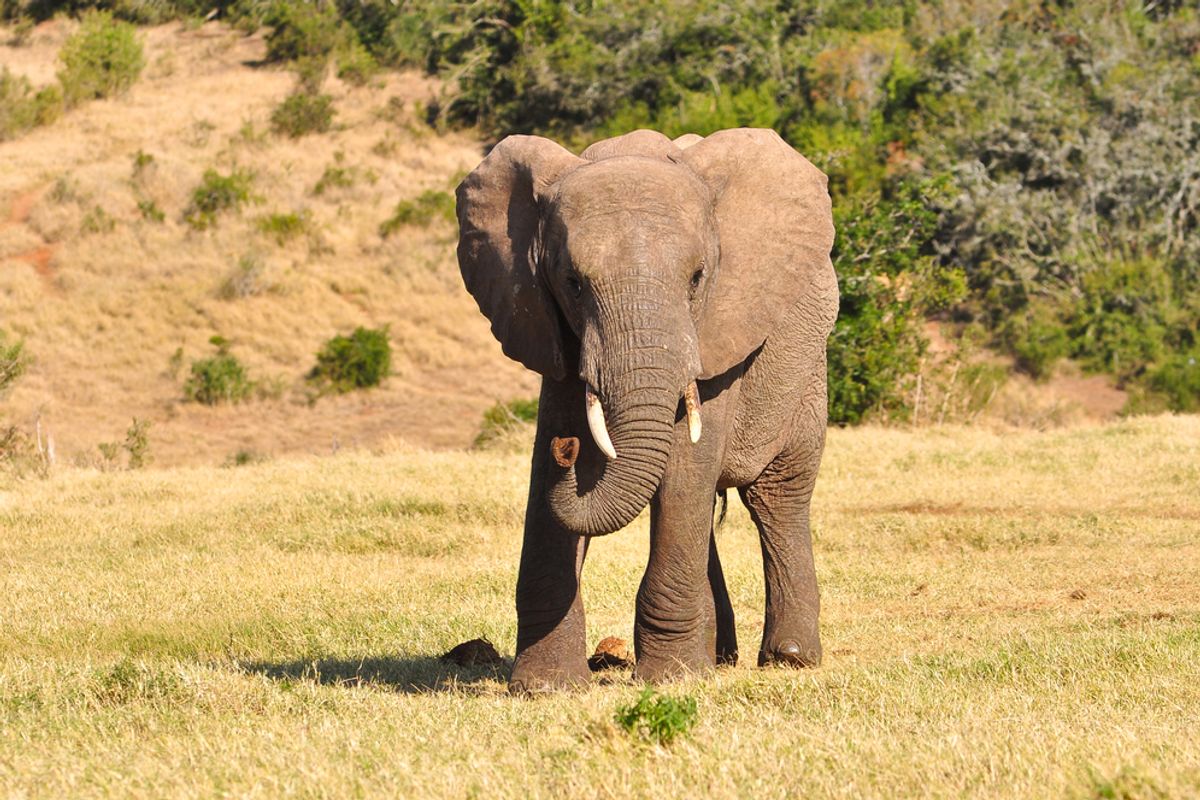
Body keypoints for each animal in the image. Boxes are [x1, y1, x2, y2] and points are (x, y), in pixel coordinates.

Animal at [455, 127, 838, 693]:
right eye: (571, 282)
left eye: (698, 278)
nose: (570, 450)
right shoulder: (546, 325)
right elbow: (549, 473)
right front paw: (546, 687)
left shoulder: (720, 328)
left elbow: (687, 464)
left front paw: (673, 680)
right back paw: (719, 658)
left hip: (807, 368)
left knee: (776, 496)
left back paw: (788, 657)